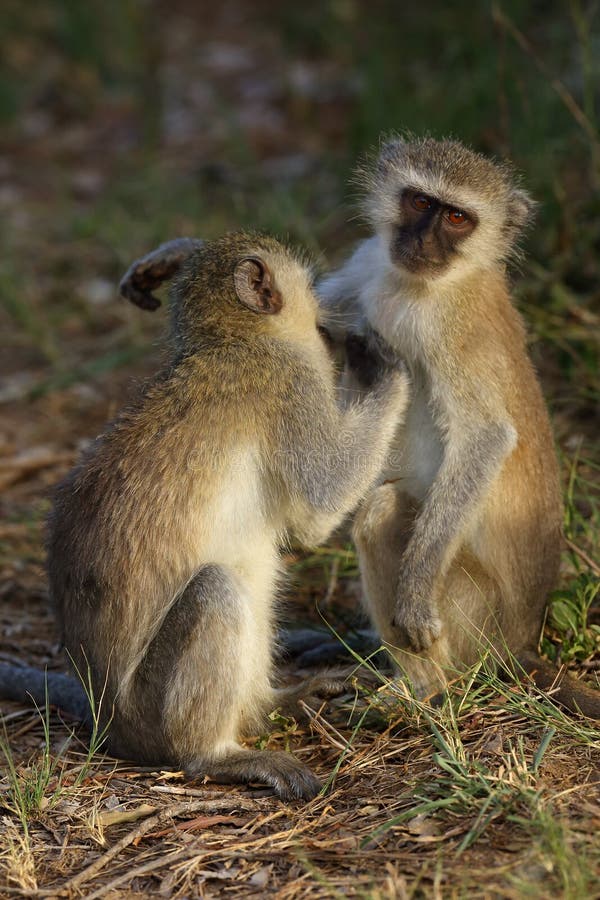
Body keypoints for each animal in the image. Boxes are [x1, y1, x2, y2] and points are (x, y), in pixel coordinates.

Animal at [0, 231, 411, 799]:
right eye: (309, 289)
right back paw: (216, 755)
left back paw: (278, 703)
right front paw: (383, 366)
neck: (232, 339)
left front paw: (172, 256)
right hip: (153, 710)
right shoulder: (290, 382)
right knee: (215, 590)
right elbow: (317, 510)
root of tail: (110, 720)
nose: (328, 322)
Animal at [315, 136, 600, 718]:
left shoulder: (453, 330)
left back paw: (422, 691)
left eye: (457, 218)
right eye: (421, 203)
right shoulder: (370, 260)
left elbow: (486, 438)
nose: (423, 239)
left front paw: (414, 592)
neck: (419, 285)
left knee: (382, 514)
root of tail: (520, 641)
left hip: (475, 614)